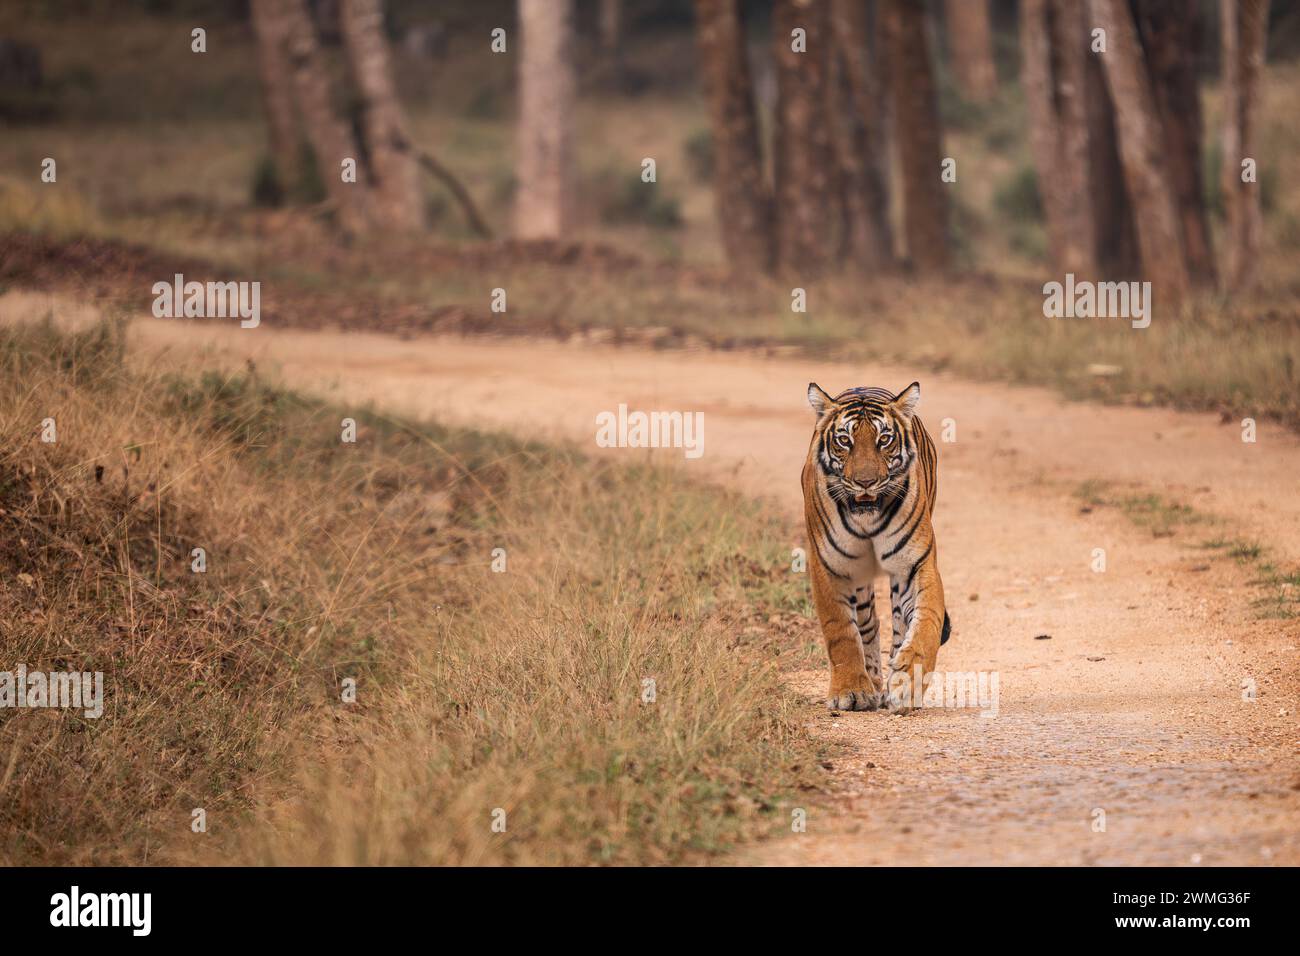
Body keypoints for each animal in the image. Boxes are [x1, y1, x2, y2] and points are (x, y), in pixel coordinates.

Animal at [801, 381, 951, 713]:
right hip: (857, 579)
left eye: (884, 440)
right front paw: (851, 690)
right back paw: (870, 681)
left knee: (897, 621)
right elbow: (840, 630)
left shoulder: (915, 565)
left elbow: (926, 621)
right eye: (844, 440)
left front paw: (907, 683)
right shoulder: (830, 568)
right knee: (867, 624)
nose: (866, 482)